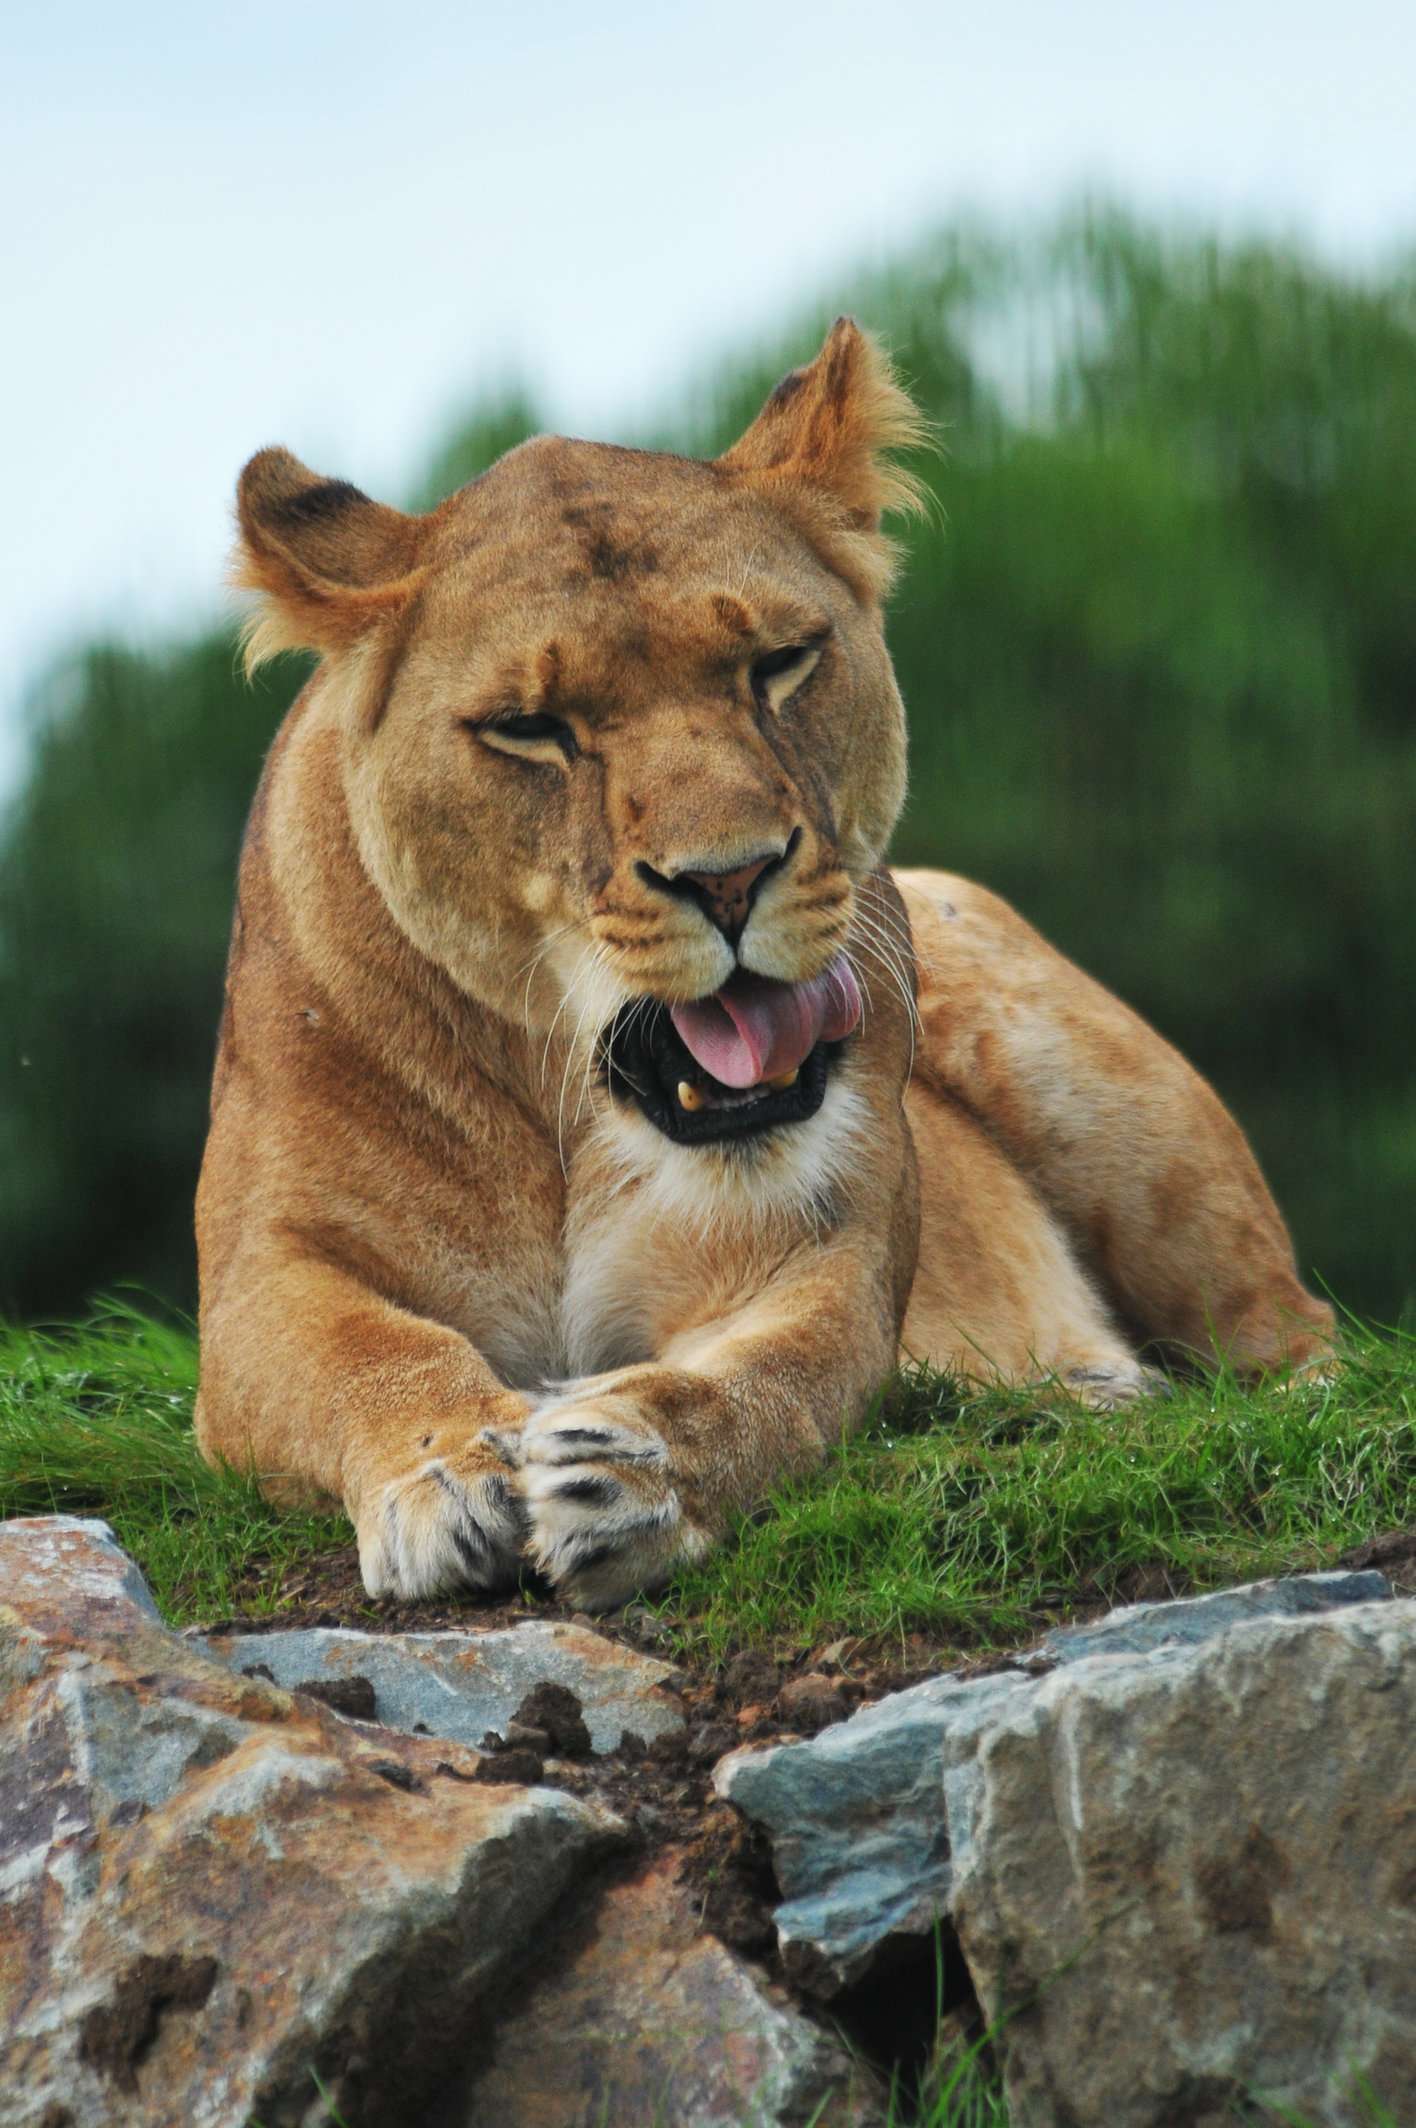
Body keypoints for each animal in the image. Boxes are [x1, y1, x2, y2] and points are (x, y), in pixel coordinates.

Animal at [194, 318, 1334, 1611]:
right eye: (529, 729)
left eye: (780, 661)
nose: (730, 878)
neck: (564, 1119)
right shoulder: (260, 1273)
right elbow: (369, 1350)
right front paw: (443, 1476)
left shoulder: (824, 1244)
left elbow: (773, 1376)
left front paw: (634, 1467)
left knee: (1294, 1333)